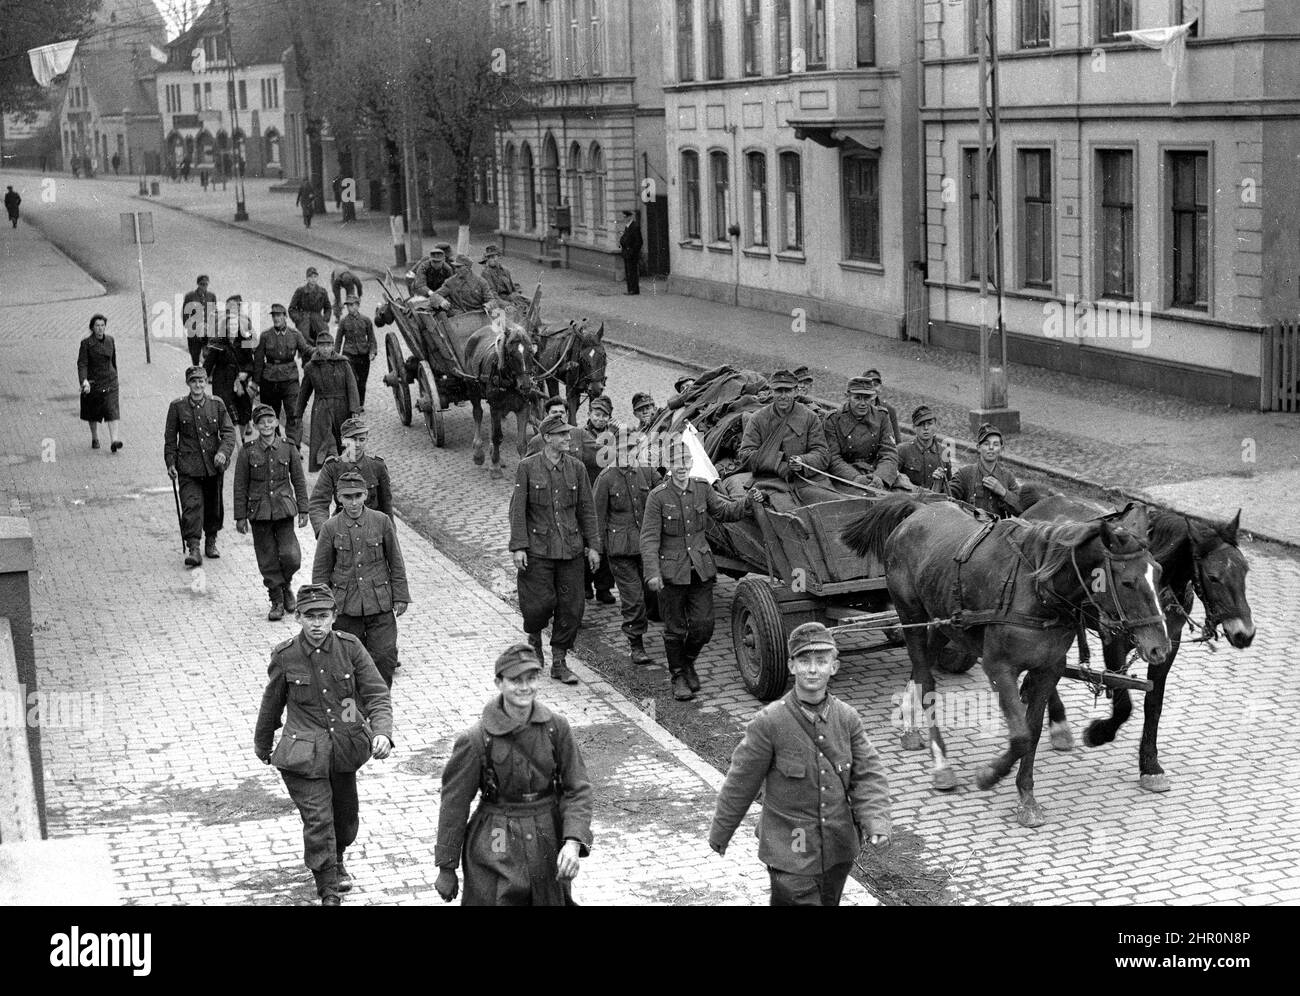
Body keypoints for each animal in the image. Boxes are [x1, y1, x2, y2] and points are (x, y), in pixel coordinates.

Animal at [837, 494, 1175, 832]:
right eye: (1128, 582)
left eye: (1159, 572)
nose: (1160, 647)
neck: (1038, 591)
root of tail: (918, 508)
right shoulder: (999, 667)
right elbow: (1021, 734)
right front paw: (990, 775)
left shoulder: (1048, 669)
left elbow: (1032, 732)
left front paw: (1026, 796)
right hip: (911, 617)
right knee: (927, 681)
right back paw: (941, 762)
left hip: (944, 623)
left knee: (921, 673)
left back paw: (909, 723)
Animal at [1019, 488, 1253, 790]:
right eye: (1213, 577)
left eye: (1244, 570)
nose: (1245, 633)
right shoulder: (1113, 639)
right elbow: (1122, 699)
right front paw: (1099, 733)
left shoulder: (1167, 643)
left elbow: (1153, 704)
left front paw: (1150, 764)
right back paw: (1057, 720)